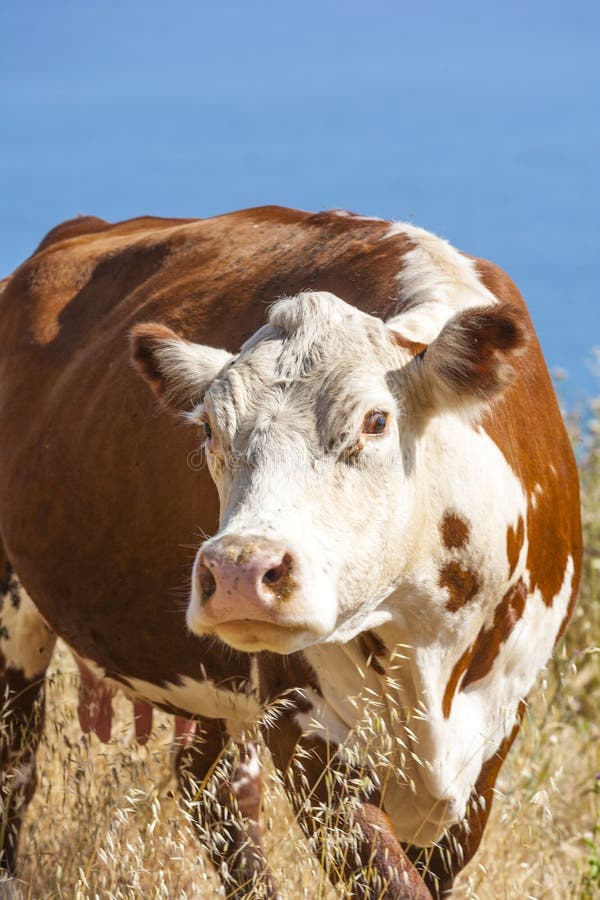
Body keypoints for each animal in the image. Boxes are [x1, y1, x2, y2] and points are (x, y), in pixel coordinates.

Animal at [0, 206, 581, 898]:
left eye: (376, 421)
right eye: (208, 428)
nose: (239, 571)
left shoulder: (490, 742)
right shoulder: (305, 731)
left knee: (213, 787)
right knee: (15, 767)